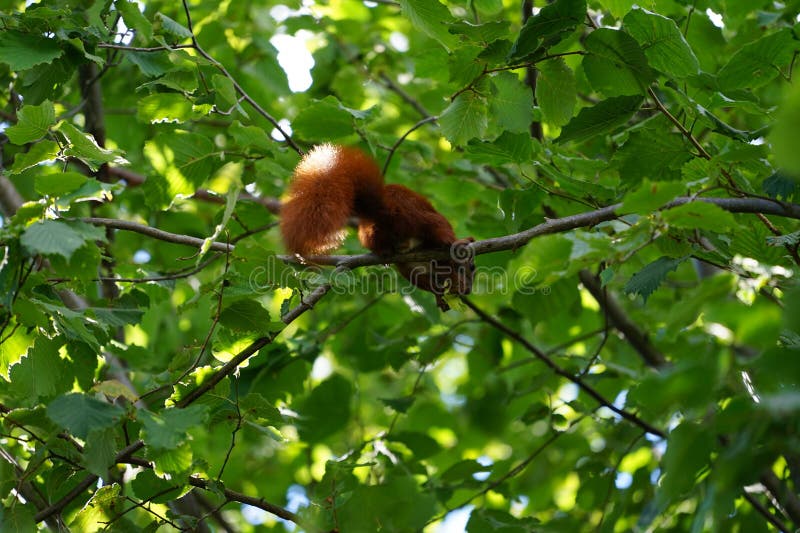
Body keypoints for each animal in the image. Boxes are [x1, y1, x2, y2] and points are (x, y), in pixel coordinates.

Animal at [280, 144, 475, 311]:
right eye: (472, 268)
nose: (468, 290)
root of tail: (386, 210)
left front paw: (444, 293)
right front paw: (456, 282)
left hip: (385, 247)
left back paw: (386, 254)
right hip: (426, 221)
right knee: (441, 234)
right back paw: (451, 244)